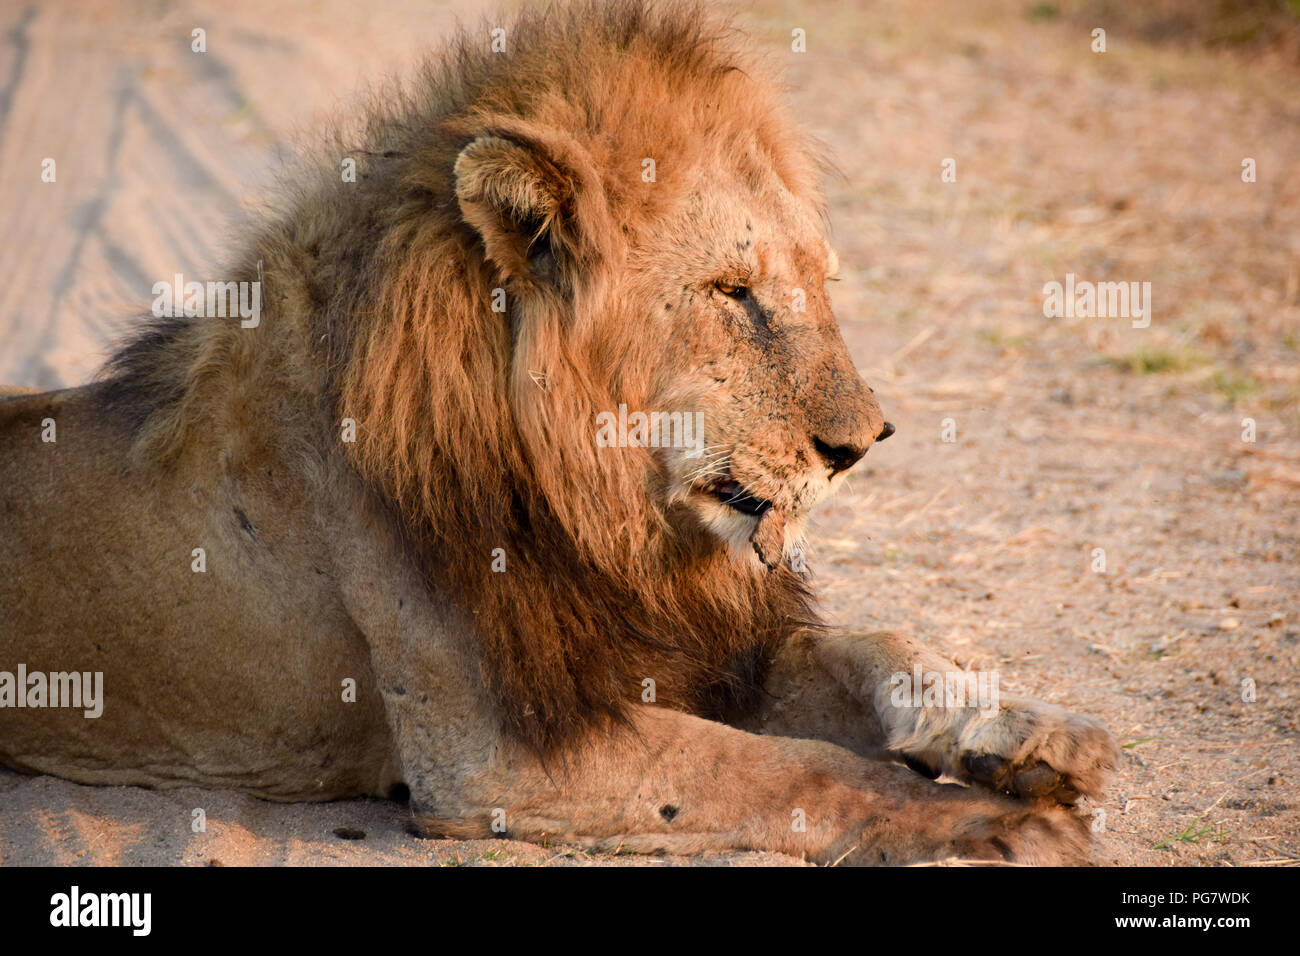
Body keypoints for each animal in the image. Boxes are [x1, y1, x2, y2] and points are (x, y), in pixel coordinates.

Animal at [0, 0, 1116, 864]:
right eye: (732, 291)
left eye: (819, 282)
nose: (863, 443)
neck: (607, 510)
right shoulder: (498, 754)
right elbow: (785, 769)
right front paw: (990, 820)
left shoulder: (702, 649)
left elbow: (873, 650)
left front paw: (1027, 734)